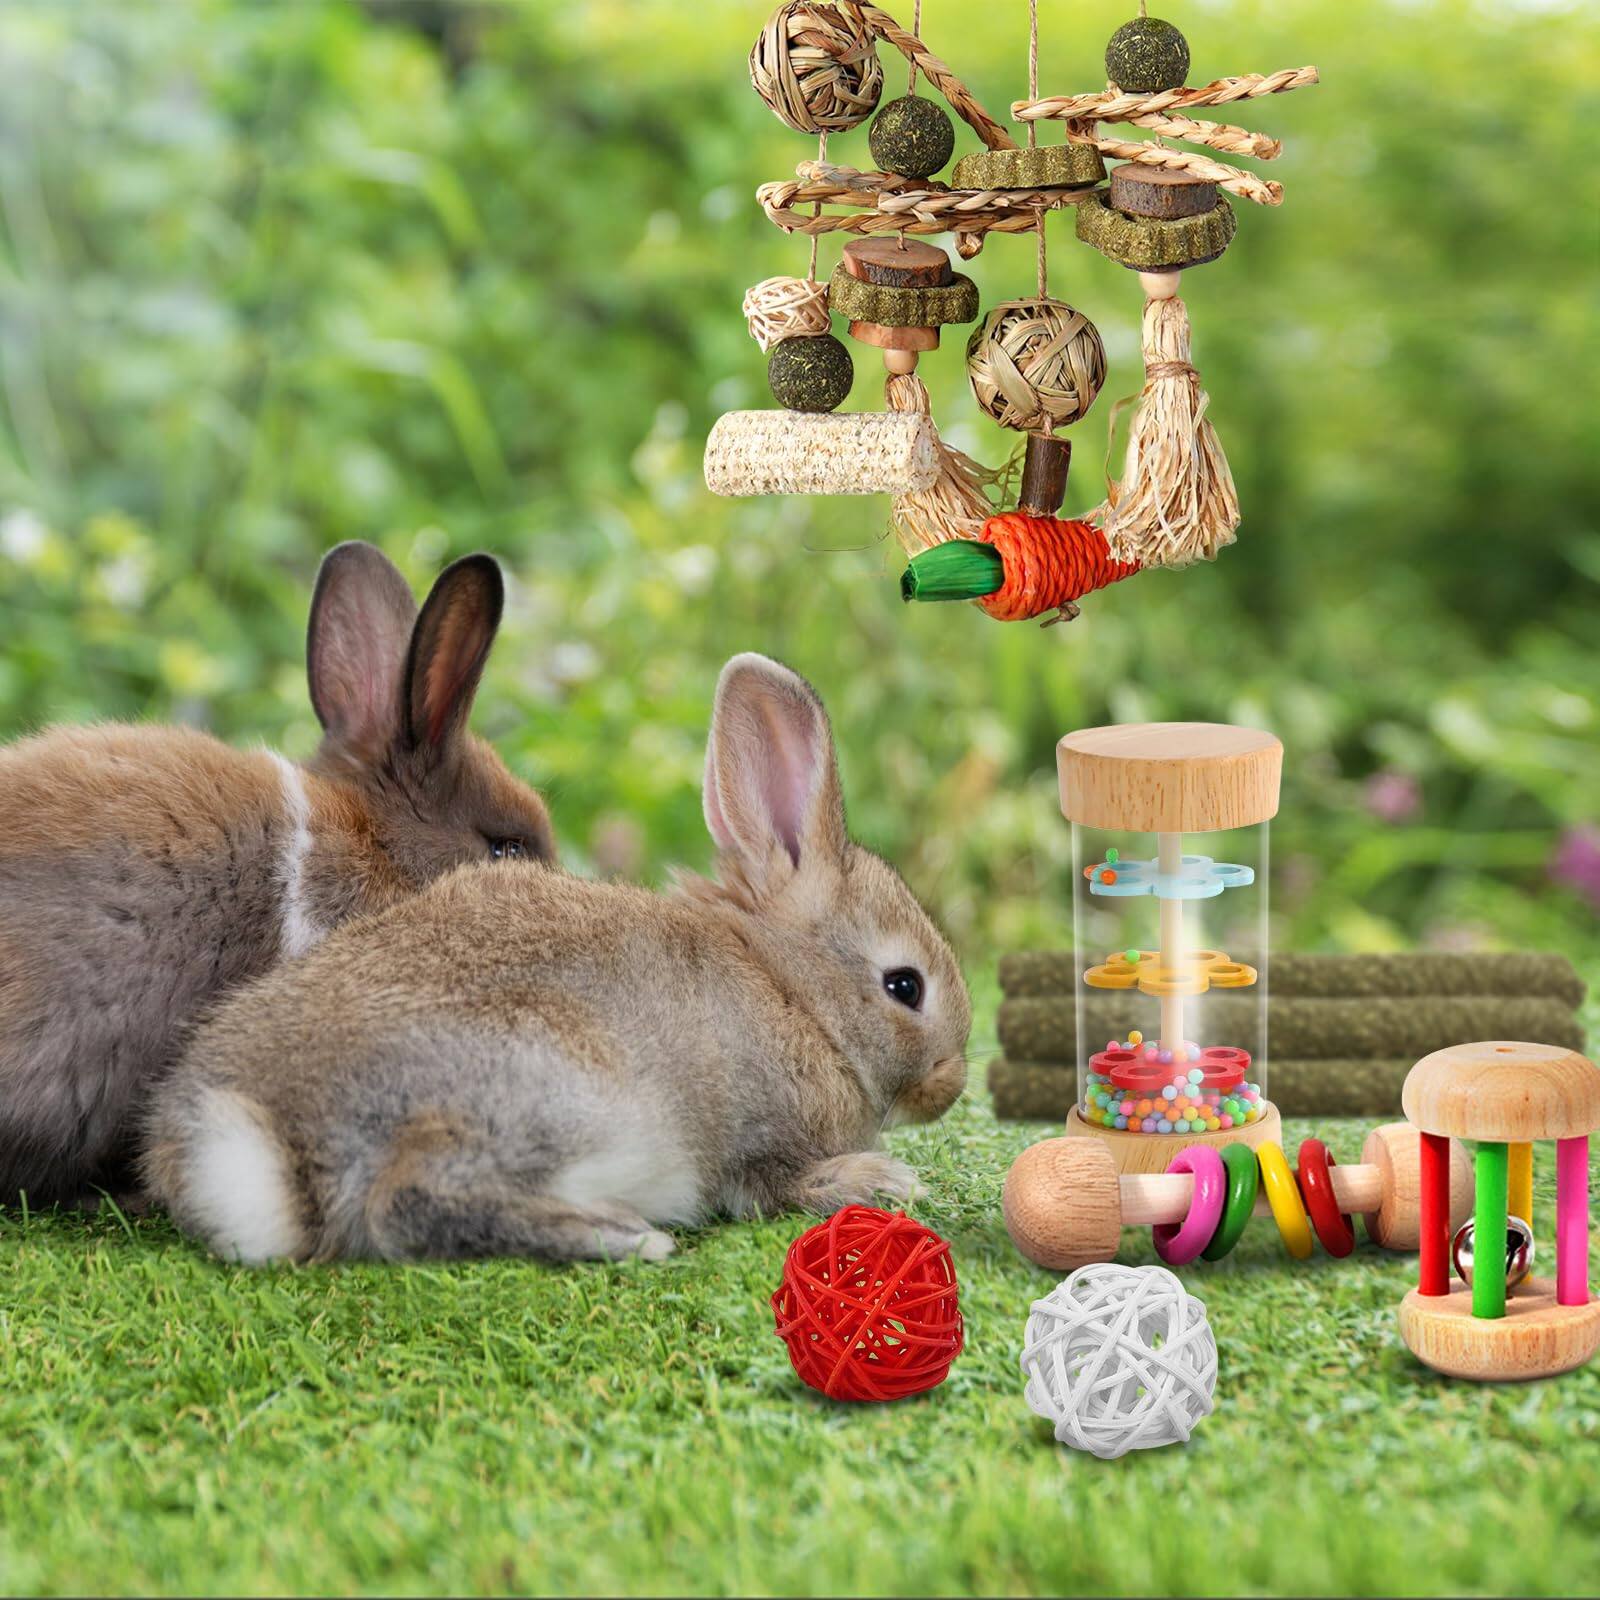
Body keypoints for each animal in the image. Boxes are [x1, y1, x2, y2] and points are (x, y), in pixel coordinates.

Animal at [142, 652, 971, 1265]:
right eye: (904, 986)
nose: (952, 1085)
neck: (792, 990)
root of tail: (267, 1147)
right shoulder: (757, 1138)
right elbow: (774, 1187)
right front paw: (879, 1180)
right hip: (553, 1094)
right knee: (405, 1202)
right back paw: (621, 1236)